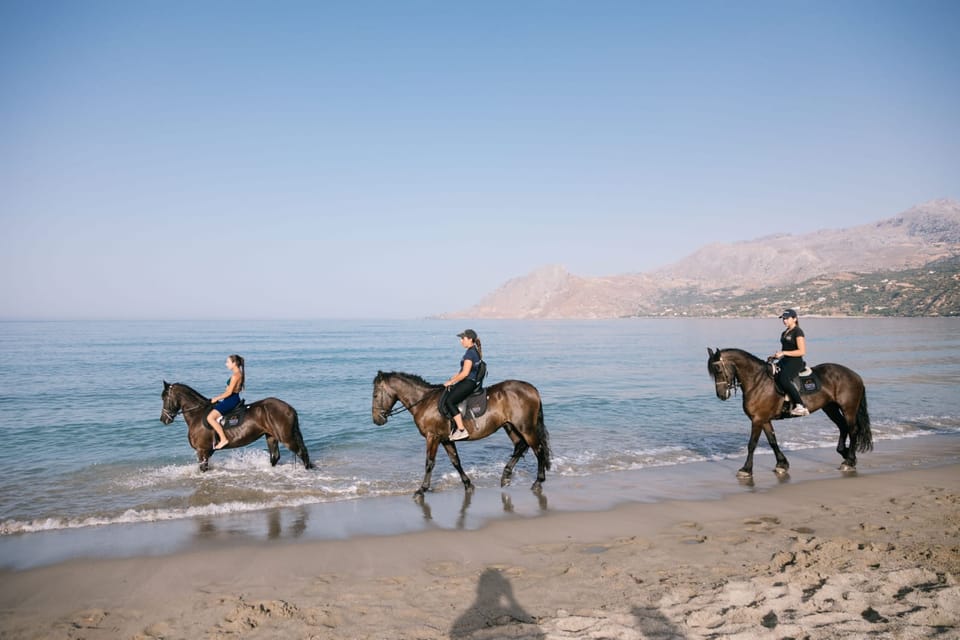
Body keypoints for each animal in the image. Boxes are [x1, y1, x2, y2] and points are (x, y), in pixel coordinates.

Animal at [160, 381, 313, 472]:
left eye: (164, 398)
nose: (163, 419)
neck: (197, 414)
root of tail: (289, 408)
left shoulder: (202, 450)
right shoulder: (207, 451)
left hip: (286, 438)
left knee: (302, 453)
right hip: (271, 436)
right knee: (275, 456)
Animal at [371, 371, 552, 496]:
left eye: (375, 395)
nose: (376, 420)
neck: (424, 401)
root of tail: (532, 389)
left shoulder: (432, 437)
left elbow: (429, 463)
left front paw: (422, 489)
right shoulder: (445, 439)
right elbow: (455, 461)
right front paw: (468, 484)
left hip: (525, 428)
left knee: (538, 450)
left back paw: (538, 481)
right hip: (510, 426)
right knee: (520, 446)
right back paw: (506, 476)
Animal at [707, 348, 872, 477]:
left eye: (718, 369)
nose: (721, 395)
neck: (757, 382)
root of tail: (855, 375)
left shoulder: (757, 420)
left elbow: (752, 444)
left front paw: (746, 469)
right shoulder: (764, 419)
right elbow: (772, 441)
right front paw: (782, 464)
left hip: (848, 409)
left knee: (852, 430)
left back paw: (849, 460)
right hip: (830, 408)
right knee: (843, 427)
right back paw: (845, 454)